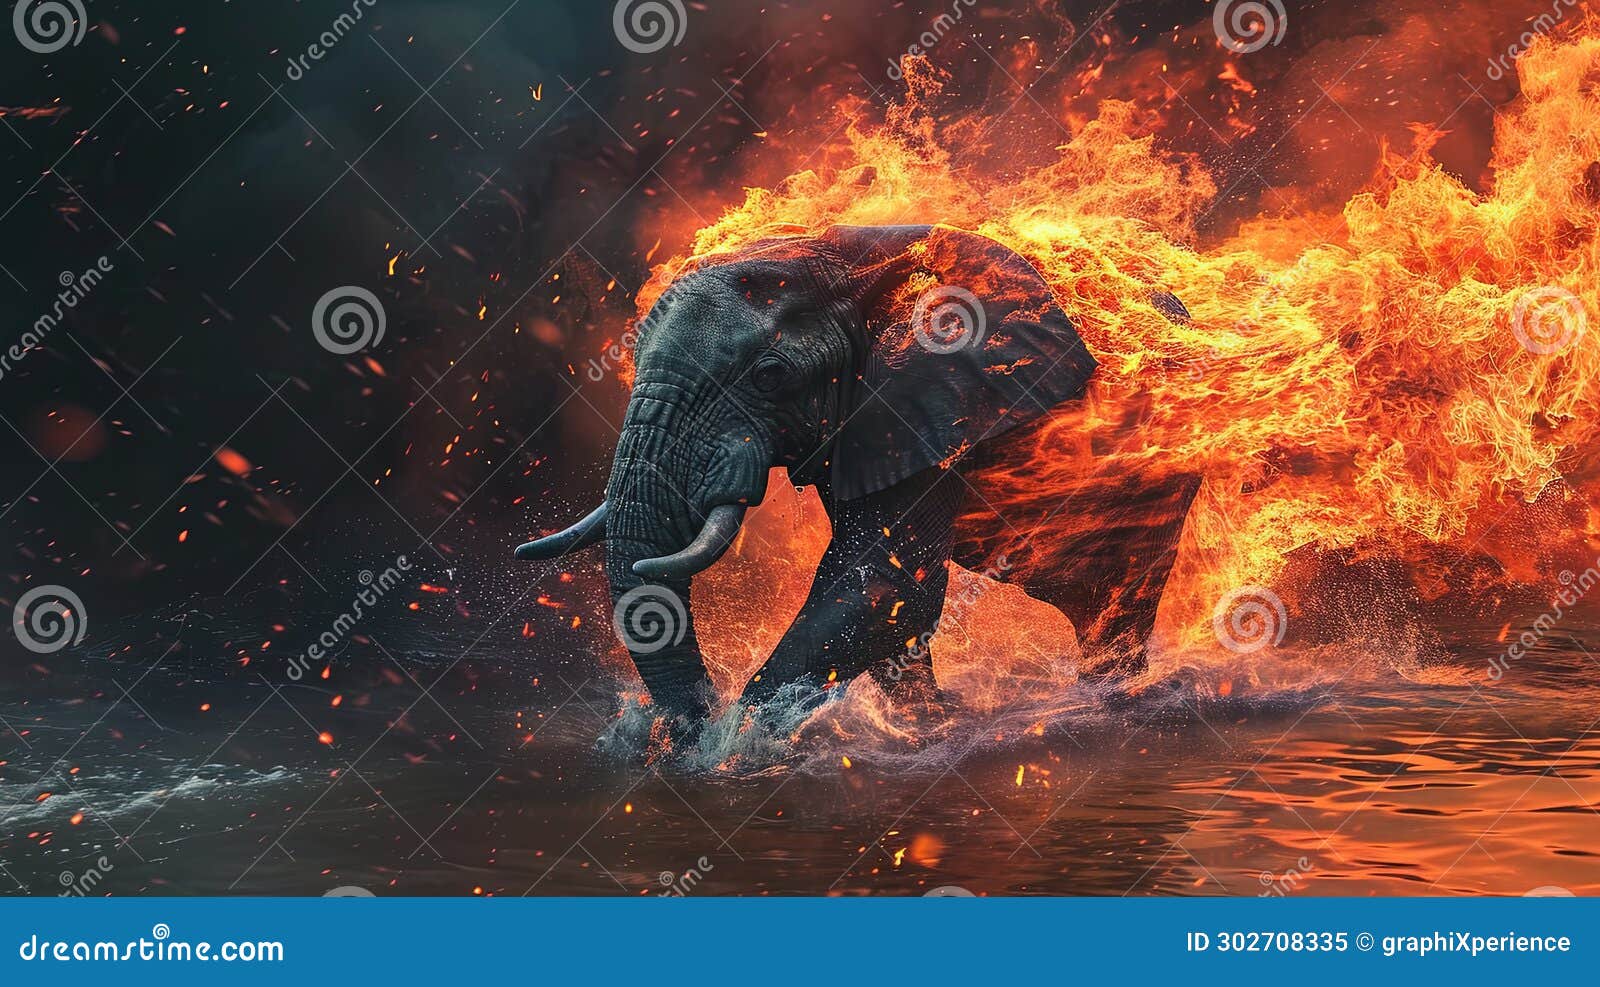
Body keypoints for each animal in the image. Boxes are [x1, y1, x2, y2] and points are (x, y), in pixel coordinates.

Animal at [515, 224, 1200, 726]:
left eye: (770, 376)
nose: (690, 726)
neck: (845, 254)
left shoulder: (933, 401)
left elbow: (879, 581)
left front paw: (735, 744)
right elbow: (885, 597)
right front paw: (927, 731)